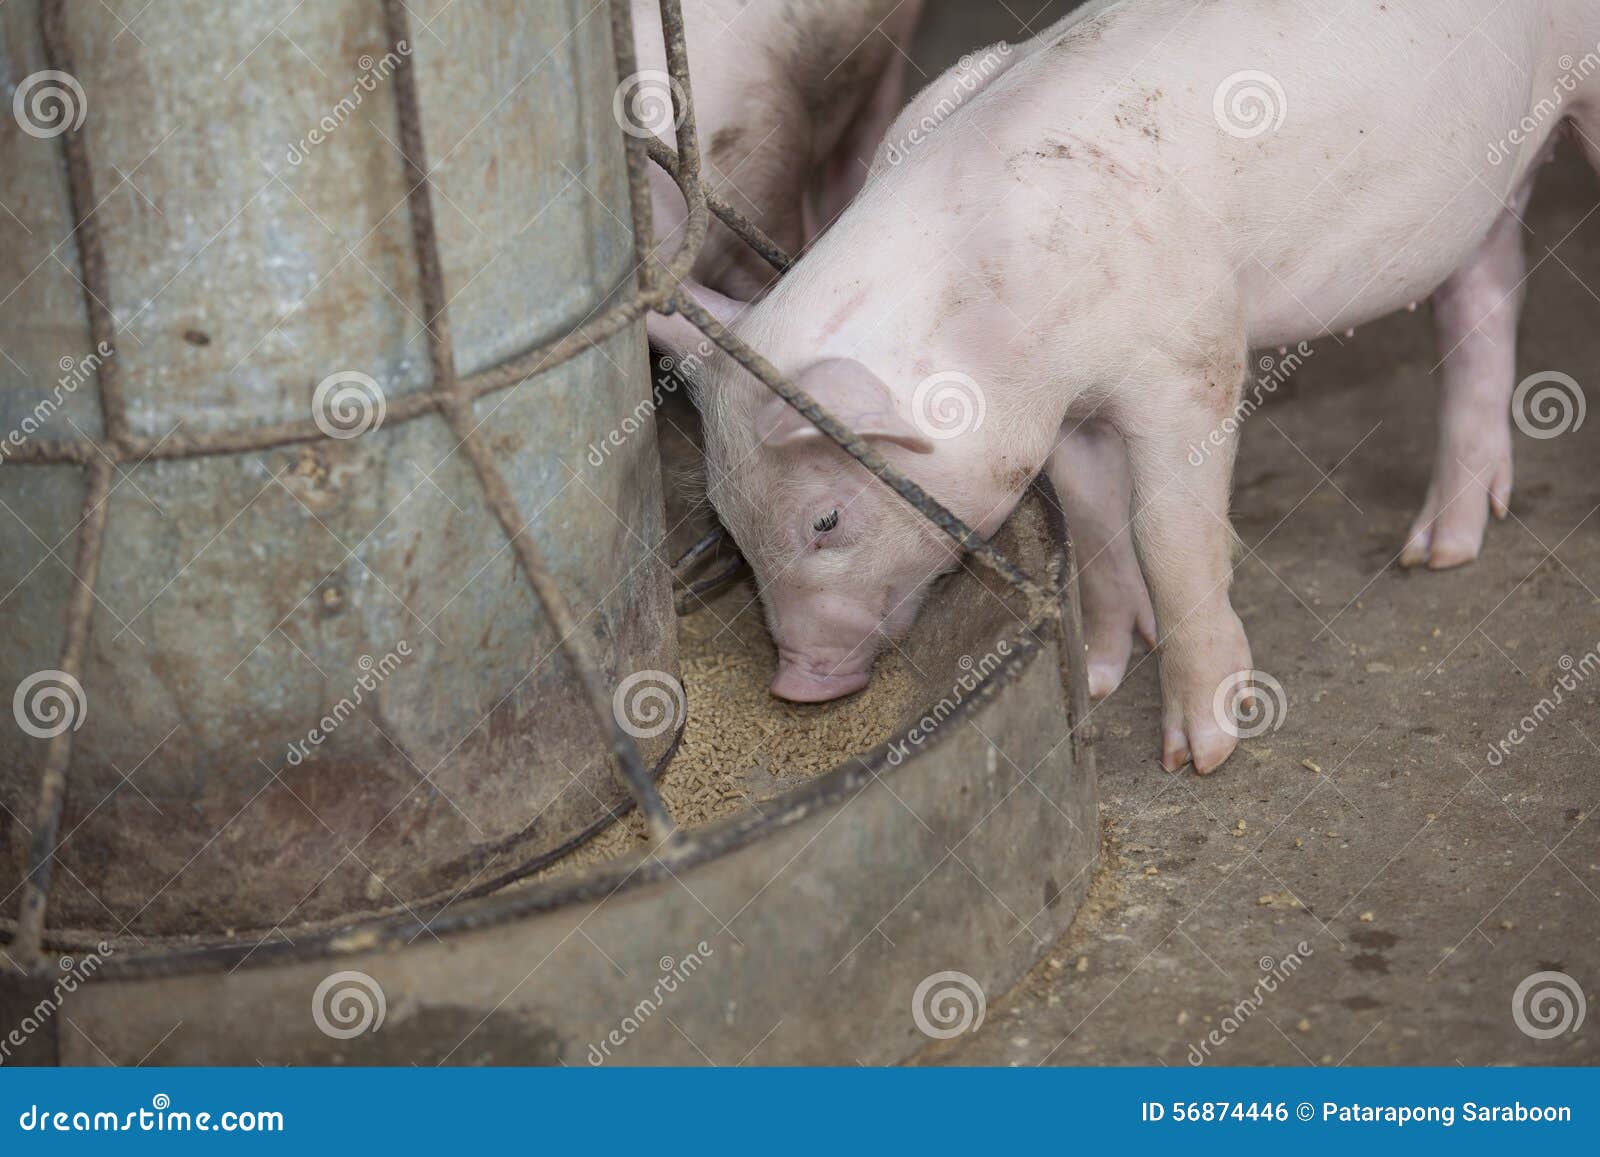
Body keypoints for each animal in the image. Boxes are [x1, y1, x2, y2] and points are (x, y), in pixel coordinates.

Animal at [662, 0, 1600, 773]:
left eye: (825, 519)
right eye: (726, 518)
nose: (796, 685)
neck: (996, 303)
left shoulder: (1192, 362)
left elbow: (1167, 534)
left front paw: (1200, 755)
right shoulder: (1061, 416)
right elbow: (1094, 526)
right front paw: (1103, 676)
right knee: (1483, 292)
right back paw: (1439, 551)